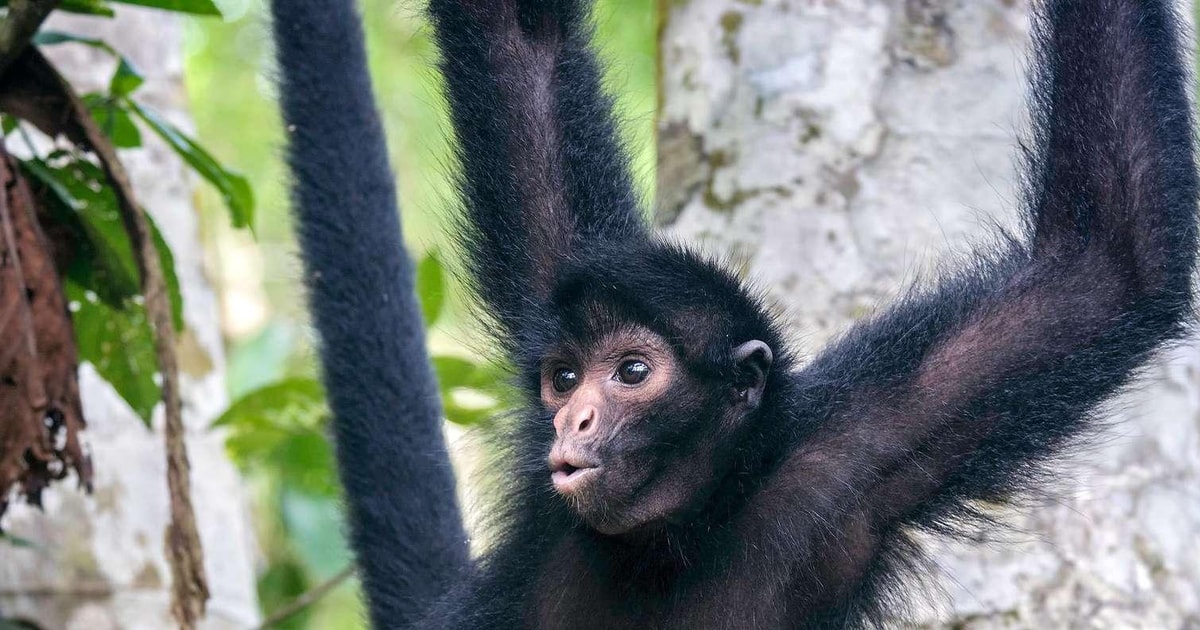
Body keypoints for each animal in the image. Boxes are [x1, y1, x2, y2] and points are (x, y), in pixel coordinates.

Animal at [268, 0, 1198, 627]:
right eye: (564, 378)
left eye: (632, 371)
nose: (573, 420)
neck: (669, 545)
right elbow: (519, 43)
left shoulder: (853, 454)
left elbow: (1104, 262)